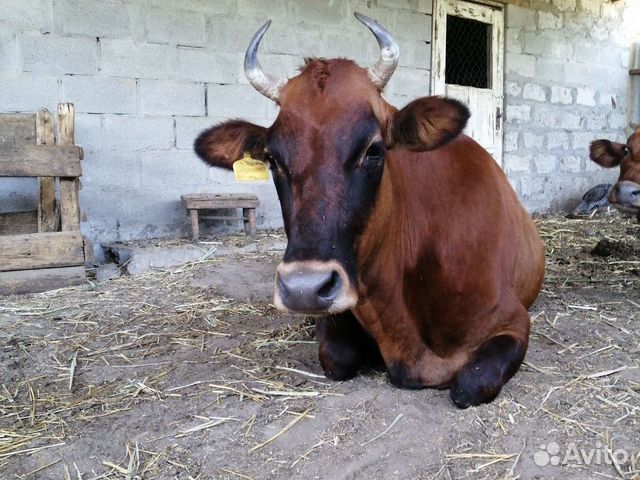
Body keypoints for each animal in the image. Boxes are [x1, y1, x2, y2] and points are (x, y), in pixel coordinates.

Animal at [194, 13, 545, 408]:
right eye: (272, 159)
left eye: (373, 149)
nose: (303, 288)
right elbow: (337, 357)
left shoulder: (513, 319)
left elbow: (471, 383)